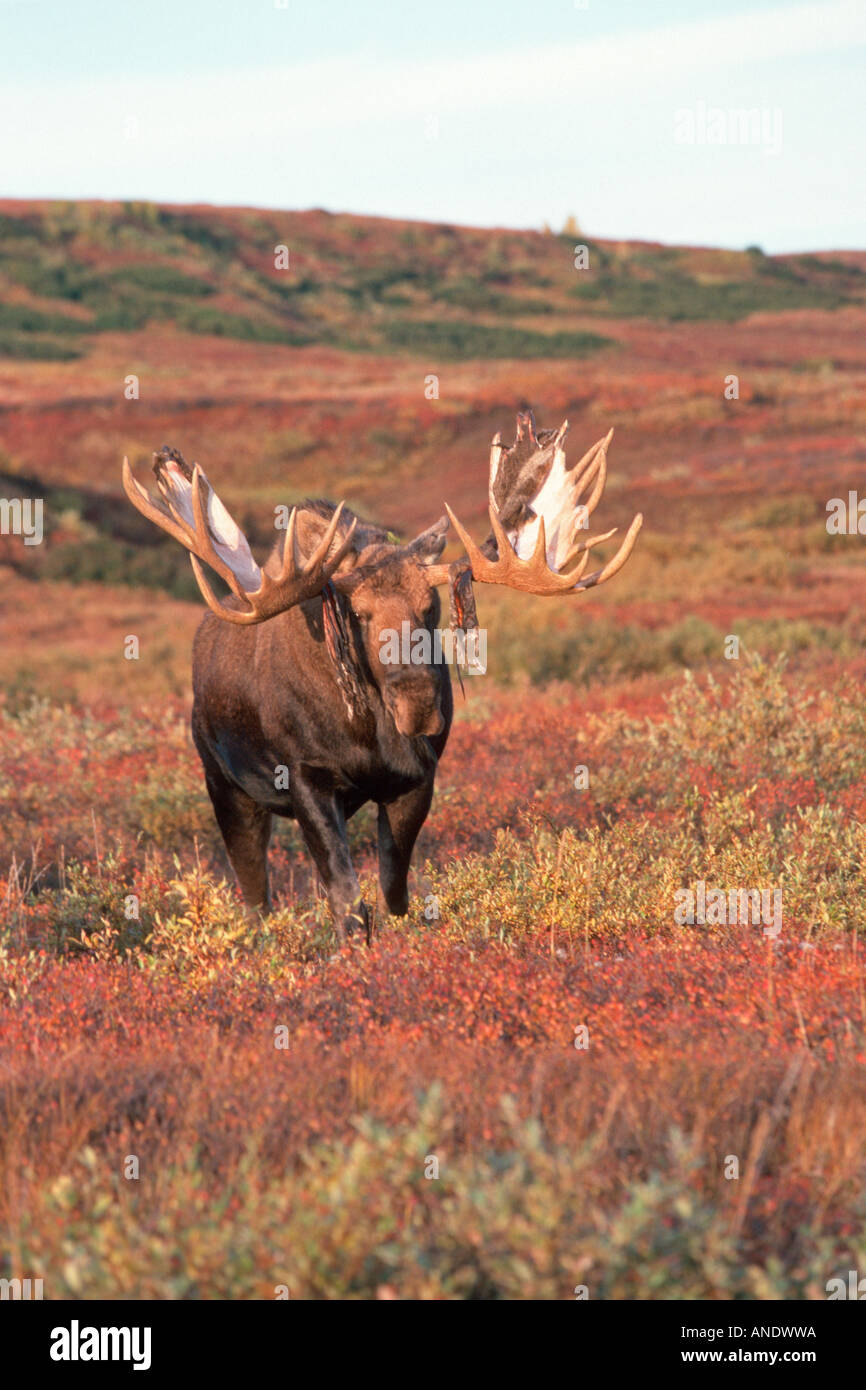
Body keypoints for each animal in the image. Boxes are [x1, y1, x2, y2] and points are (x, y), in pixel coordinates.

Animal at [122, 410, 642, 944]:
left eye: (430, 606)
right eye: (360, 614)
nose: (419, 706)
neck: (367, 732)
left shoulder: (417, 779)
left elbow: (393, 891)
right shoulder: (307, 778)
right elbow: (346, 898)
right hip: (226, 787)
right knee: (255, 896)